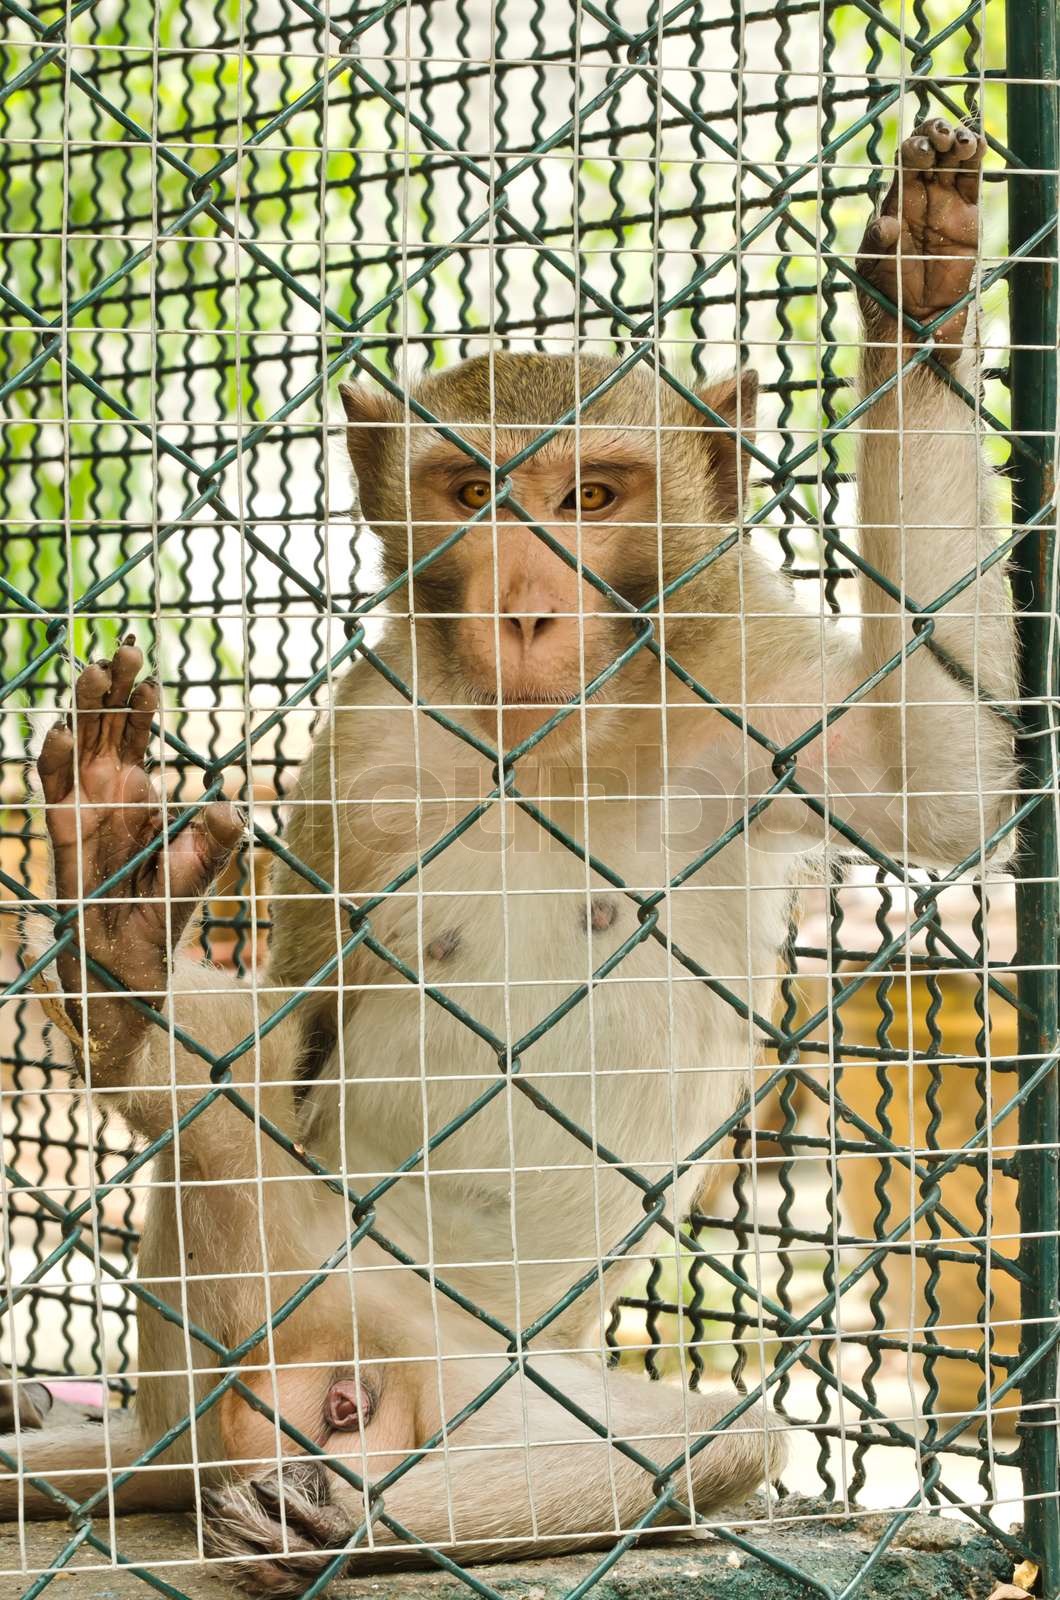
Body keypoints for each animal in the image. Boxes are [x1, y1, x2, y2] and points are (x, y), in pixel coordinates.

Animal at [1, 120, 1017, 1595]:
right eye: (474, 493)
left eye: (588, 494)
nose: (525, 604)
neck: (541, 746)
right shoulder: (361, 757)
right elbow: (290, 1029)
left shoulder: (739, 677)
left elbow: (936, 782)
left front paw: (920, 301)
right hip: (276, 1300)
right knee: (222, 1136)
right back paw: (131, 986)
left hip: (512, 1391)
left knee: (711, 1443)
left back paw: (354, 1519)